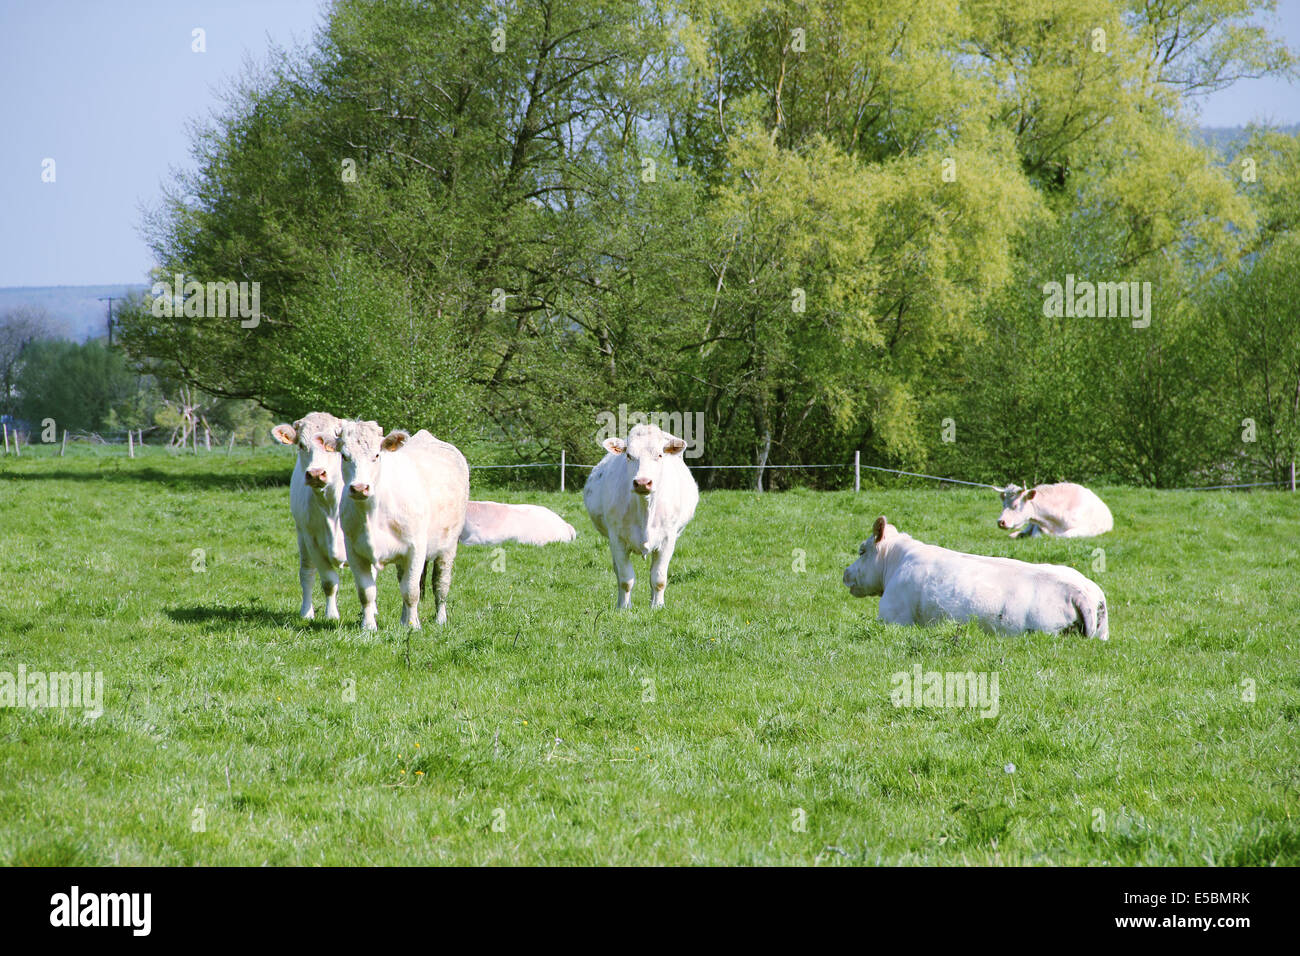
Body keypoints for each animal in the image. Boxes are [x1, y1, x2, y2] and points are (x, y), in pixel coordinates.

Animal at [271, 412, 347, 621]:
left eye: (332, 447)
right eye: (301, 445)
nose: (315, 473)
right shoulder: (312, 540)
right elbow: (329, 581)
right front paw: (332, 615)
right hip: (301, 537)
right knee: (306, 574)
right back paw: (306, 612)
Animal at [337, 420, 469, 630]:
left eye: (376, 455)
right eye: (344, 455)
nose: (359, 488)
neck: (371, 511)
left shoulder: (416, 548)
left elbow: (411, 591)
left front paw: (414, 625)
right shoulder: (354, 551)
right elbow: (366, 592)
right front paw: (368, 626)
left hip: (448, 546)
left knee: (440, 583)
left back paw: (440, 618)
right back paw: (403, 619)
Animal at [583, 423, 699, 609]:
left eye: (659, 454)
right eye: (629, 455)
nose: (643, 482)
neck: (645, 511)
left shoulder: (668, 539)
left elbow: (658, 578)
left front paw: (658, 607)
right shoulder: (617, 539)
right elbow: (625, 579)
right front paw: (624, 608)